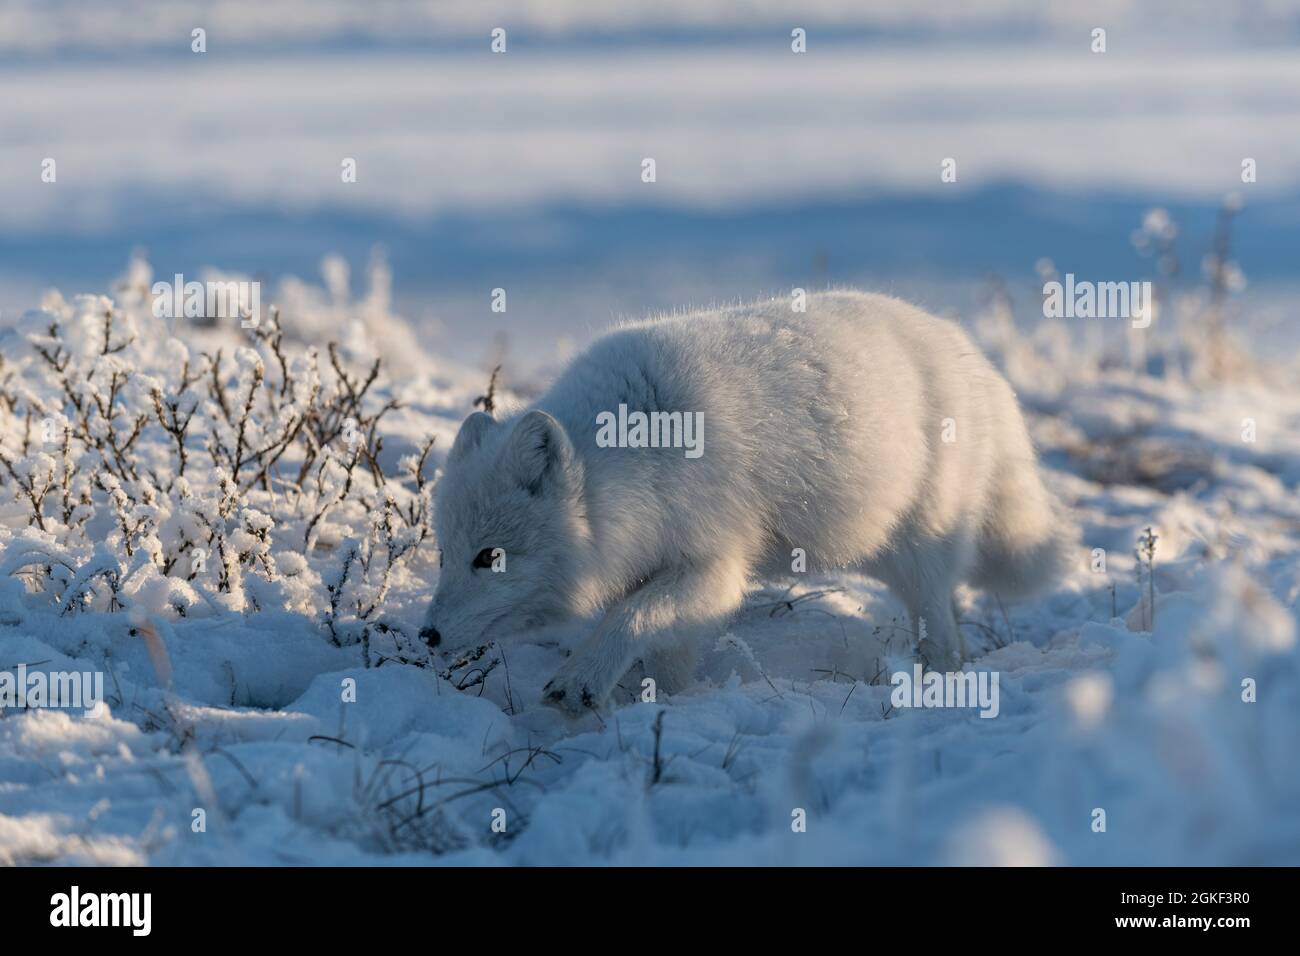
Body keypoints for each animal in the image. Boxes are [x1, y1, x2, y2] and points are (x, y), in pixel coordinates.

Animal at [420, 290, 1068, 716]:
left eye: (490, 558)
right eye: (446, 555)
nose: (426, 635)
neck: (637, 458)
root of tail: (974, 357)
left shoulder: (715, 566)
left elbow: (630, 618)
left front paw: (582, 681)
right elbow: (663, 648)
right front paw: (664, 707)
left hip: (917, 551)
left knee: (944, 632)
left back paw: (938, 684)